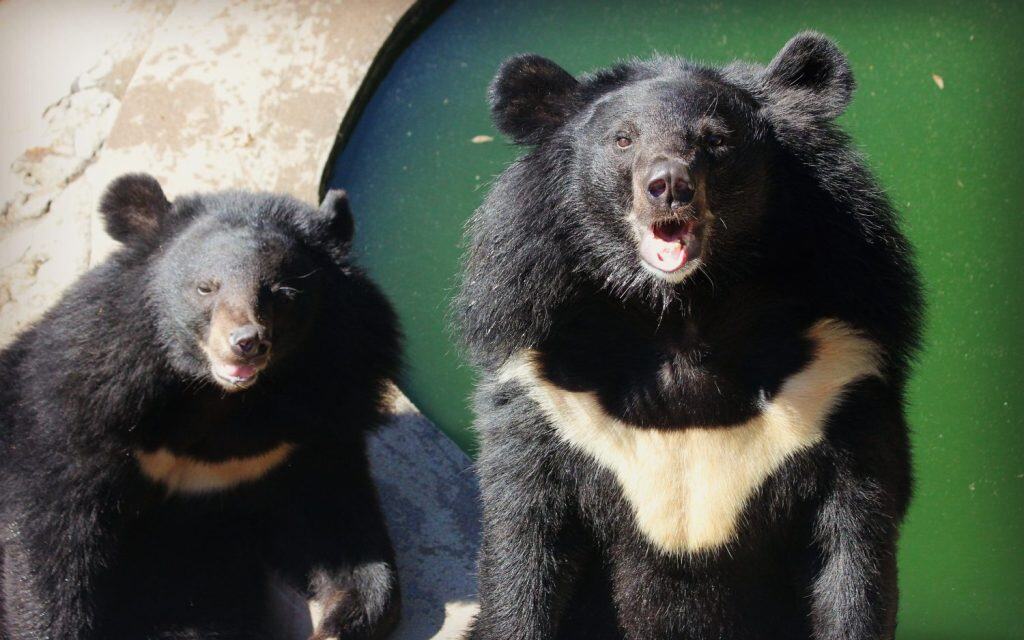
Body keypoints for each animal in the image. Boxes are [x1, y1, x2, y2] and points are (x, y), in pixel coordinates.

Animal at [0, 174, 402, 640]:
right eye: (206, 287)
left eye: (283, 294)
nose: (247, 342)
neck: (215, 399)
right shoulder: (85, 406)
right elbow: (49, 535)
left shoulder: (310, 425)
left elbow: (333, 516)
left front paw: (342, 620)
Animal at [457, 32, 923, 640]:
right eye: (623, 139)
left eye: (716, 140)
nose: (669, 187)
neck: (683, 311)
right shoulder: (544, 392)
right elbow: (525, 545)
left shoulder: (841, 373)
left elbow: (851, 552)